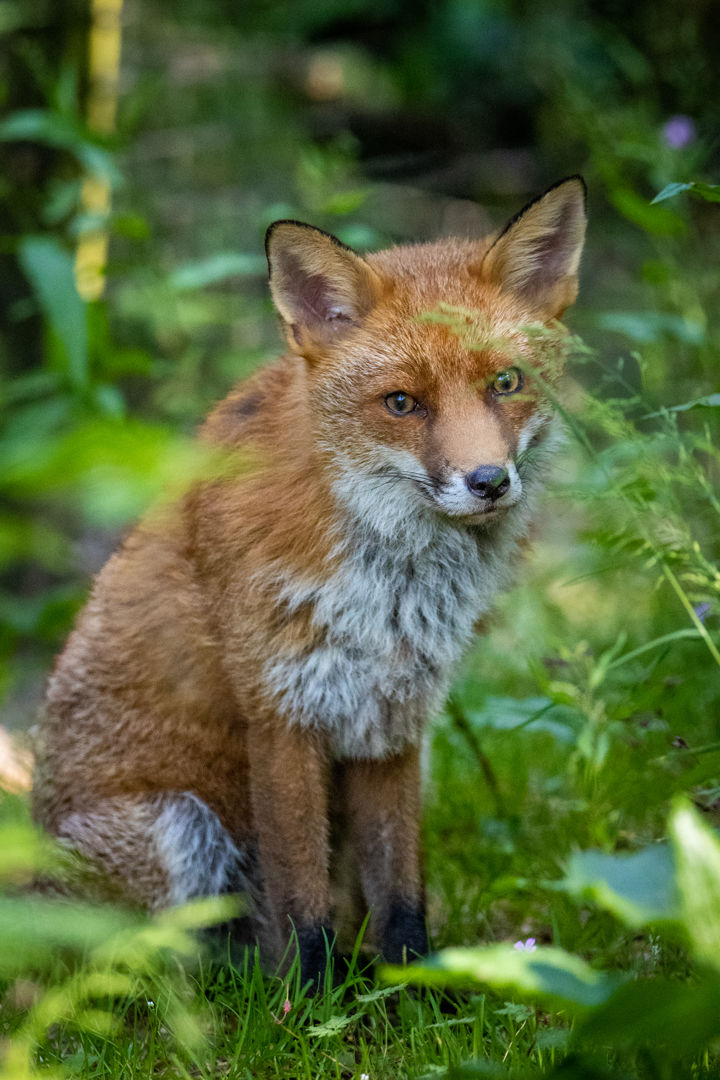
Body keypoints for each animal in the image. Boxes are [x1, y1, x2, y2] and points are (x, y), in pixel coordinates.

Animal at [33, 176, 586, 987]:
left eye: (505, 382)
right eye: (401, 403)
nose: (489, 482)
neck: (393, 582)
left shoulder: (394, 718)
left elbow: (400, 894)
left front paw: (415, 988)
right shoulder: (282, 712)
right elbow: (302, 899)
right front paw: (310, 1000)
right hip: (178, 828)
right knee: (150, 975)